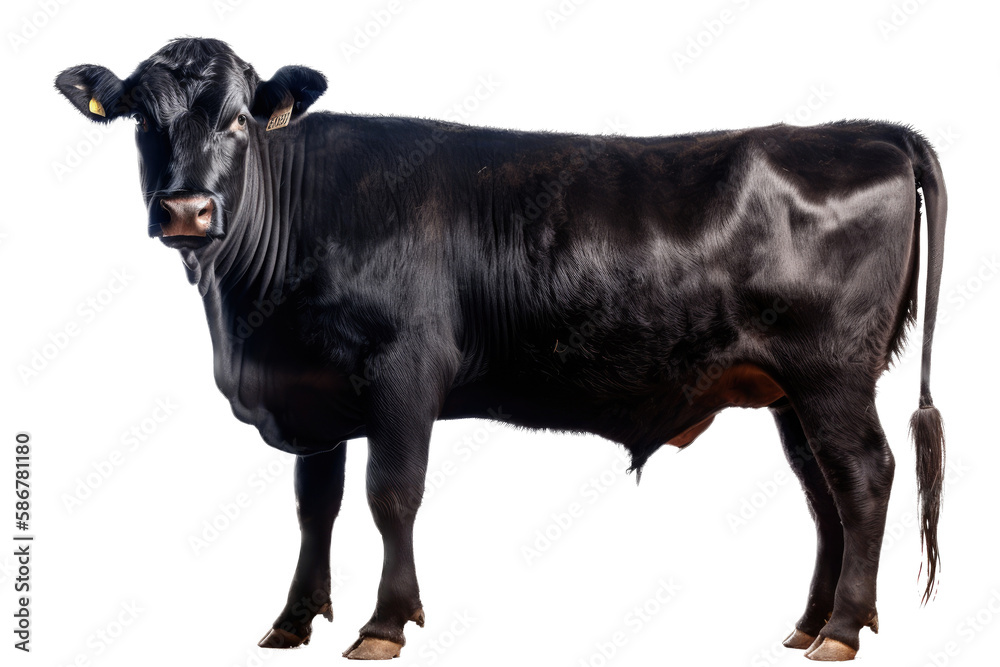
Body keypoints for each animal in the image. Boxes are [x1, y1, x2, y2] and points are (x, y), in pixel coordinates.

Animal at [56, 38, 946, 662]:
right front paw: (292, 619)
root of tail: (864, 133)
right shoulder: (315, 387)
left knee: (865, 476)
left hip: (832, 374)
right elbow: (317, 505)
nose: (187, 210)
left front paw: (385, 622)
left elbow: (391, 495)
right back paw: (814, 621)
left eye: (238, 118)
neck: (251, 328)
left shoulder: (403, 373)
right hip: (790, 390)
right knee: (824, 493)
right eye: (141, 117)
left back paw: (841, 627)